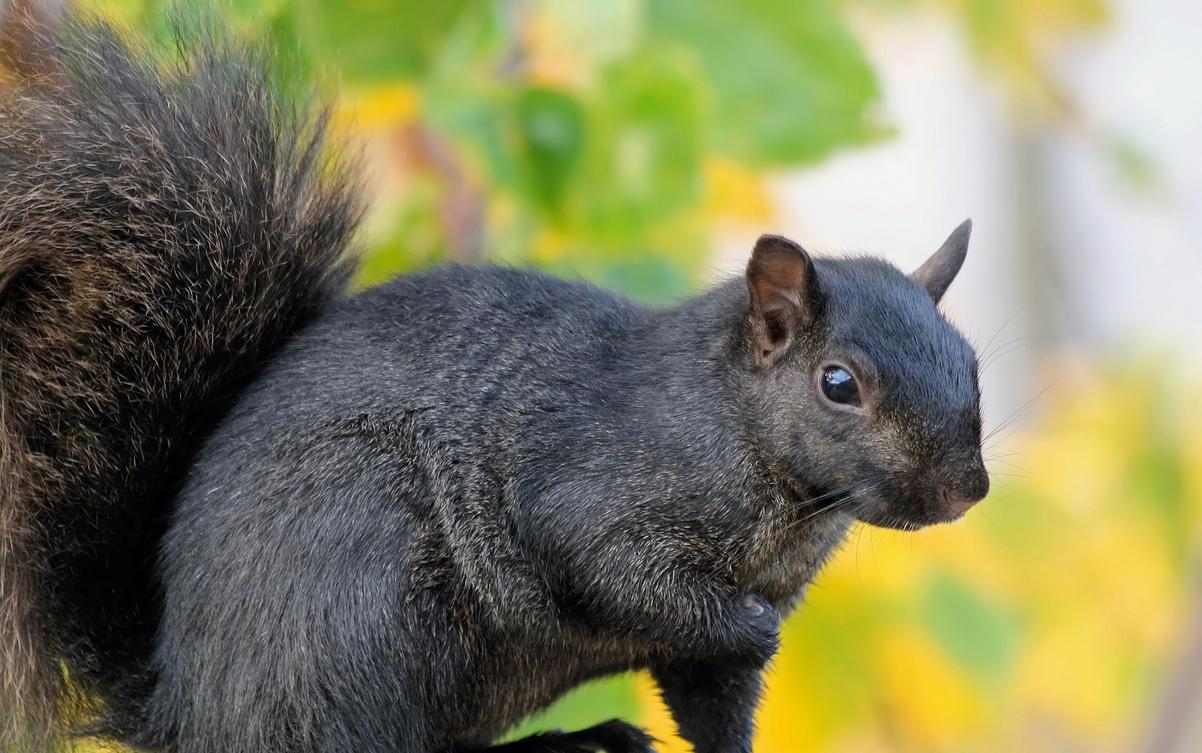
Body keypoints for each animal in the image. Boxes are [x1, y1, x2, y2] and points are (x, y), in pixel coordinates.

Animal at [0, 13, 990, 753]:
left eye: (973, 362)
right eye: (838, 383)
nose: (964, 490)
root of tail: (183, 707)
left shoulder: (712, 651)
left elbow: (713, 698)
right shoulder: (594, 491)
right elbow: (620, 574)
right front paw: (753, 626)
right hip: (363, 594)